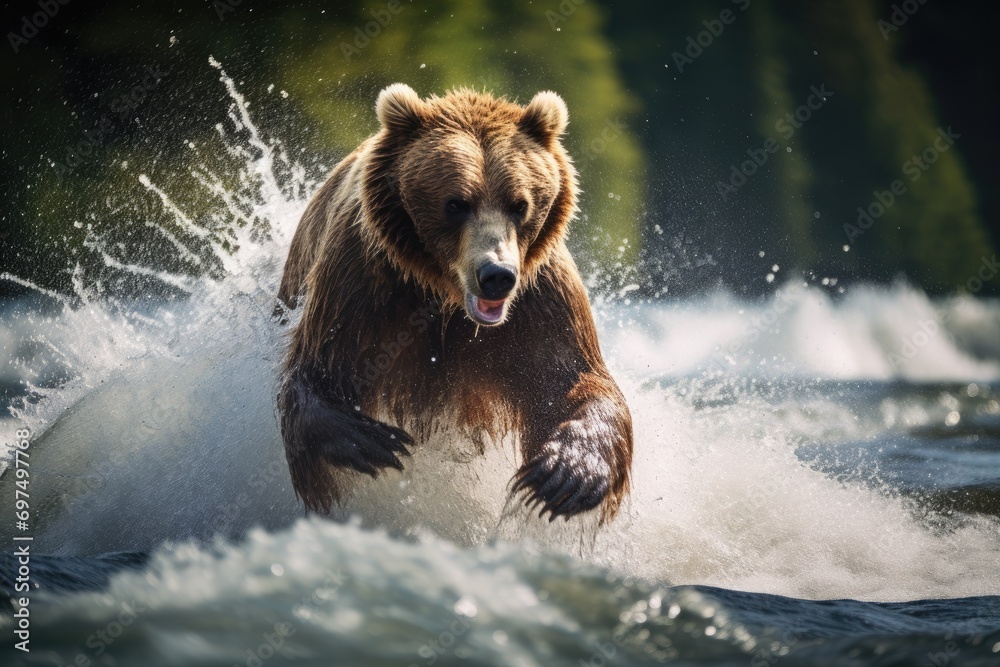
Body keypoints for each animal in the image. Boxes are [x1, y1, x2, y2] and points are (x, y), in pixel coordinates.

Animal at [276, 83, 632, 522]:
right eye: (455, 203)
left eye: (520, 204)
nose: (496, 274)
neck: (446, 301)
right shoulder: (362, 282)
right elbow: (317, 371)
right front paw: (373, 441)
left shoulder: (539, 299)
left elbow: (572, 378)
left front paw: (566, 473)